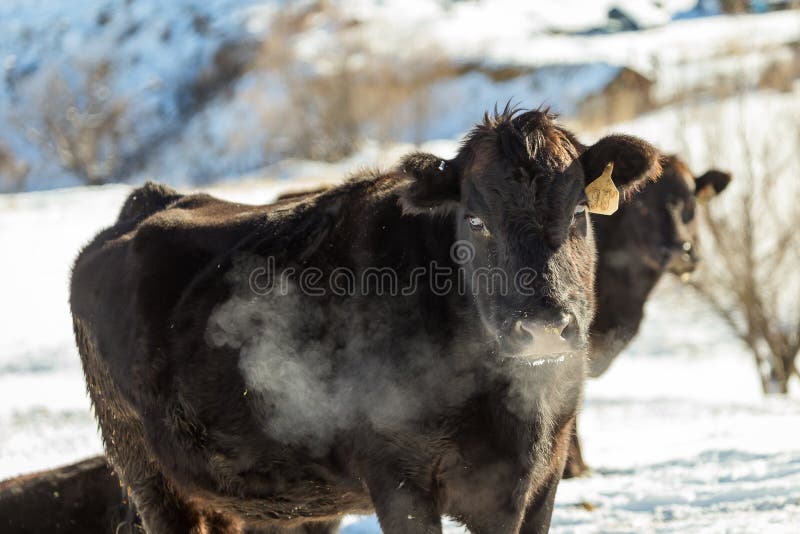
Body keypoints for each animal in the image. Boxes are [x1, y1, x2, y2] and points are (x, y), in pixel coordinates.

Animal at [69, 107, 661, 533]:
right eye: (475, 221)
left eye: (579, 212)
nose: (540, 327)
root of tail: (151, 200)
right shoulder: (397, 477)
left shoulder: (540, 479)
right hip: (144, 467)